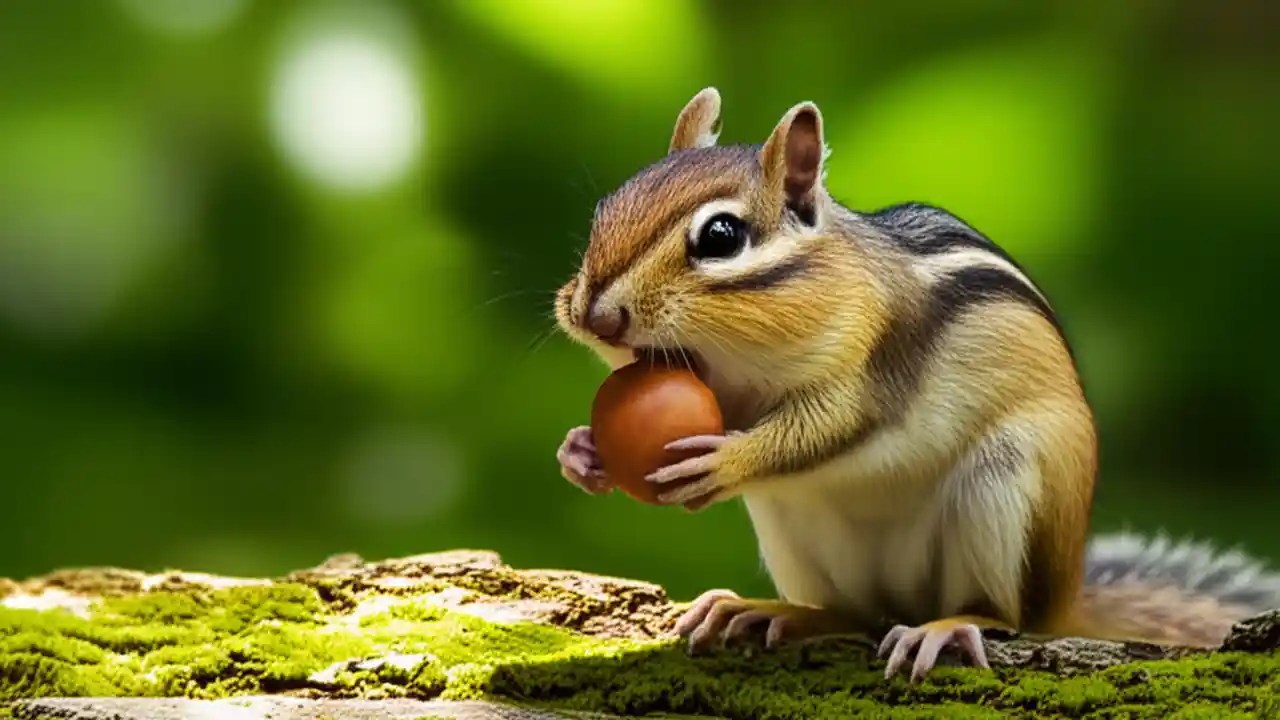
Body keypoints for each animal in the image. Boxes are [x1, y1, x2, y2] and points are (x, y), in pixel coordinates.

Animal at [551, 87, 1280, 682]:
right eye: (606, 207)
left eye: (722, 236)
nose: (593, 316)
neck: (744, 356)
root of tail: (1067, 592)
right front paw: (582, 452)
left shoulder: (876, 361)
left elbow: (829, 426)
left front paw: (728, 459)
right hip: (791, 527)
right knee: (853, 612)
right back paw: (771, 611)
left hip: (1007, 488)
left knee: (1004, 616)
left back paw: (949, 627)